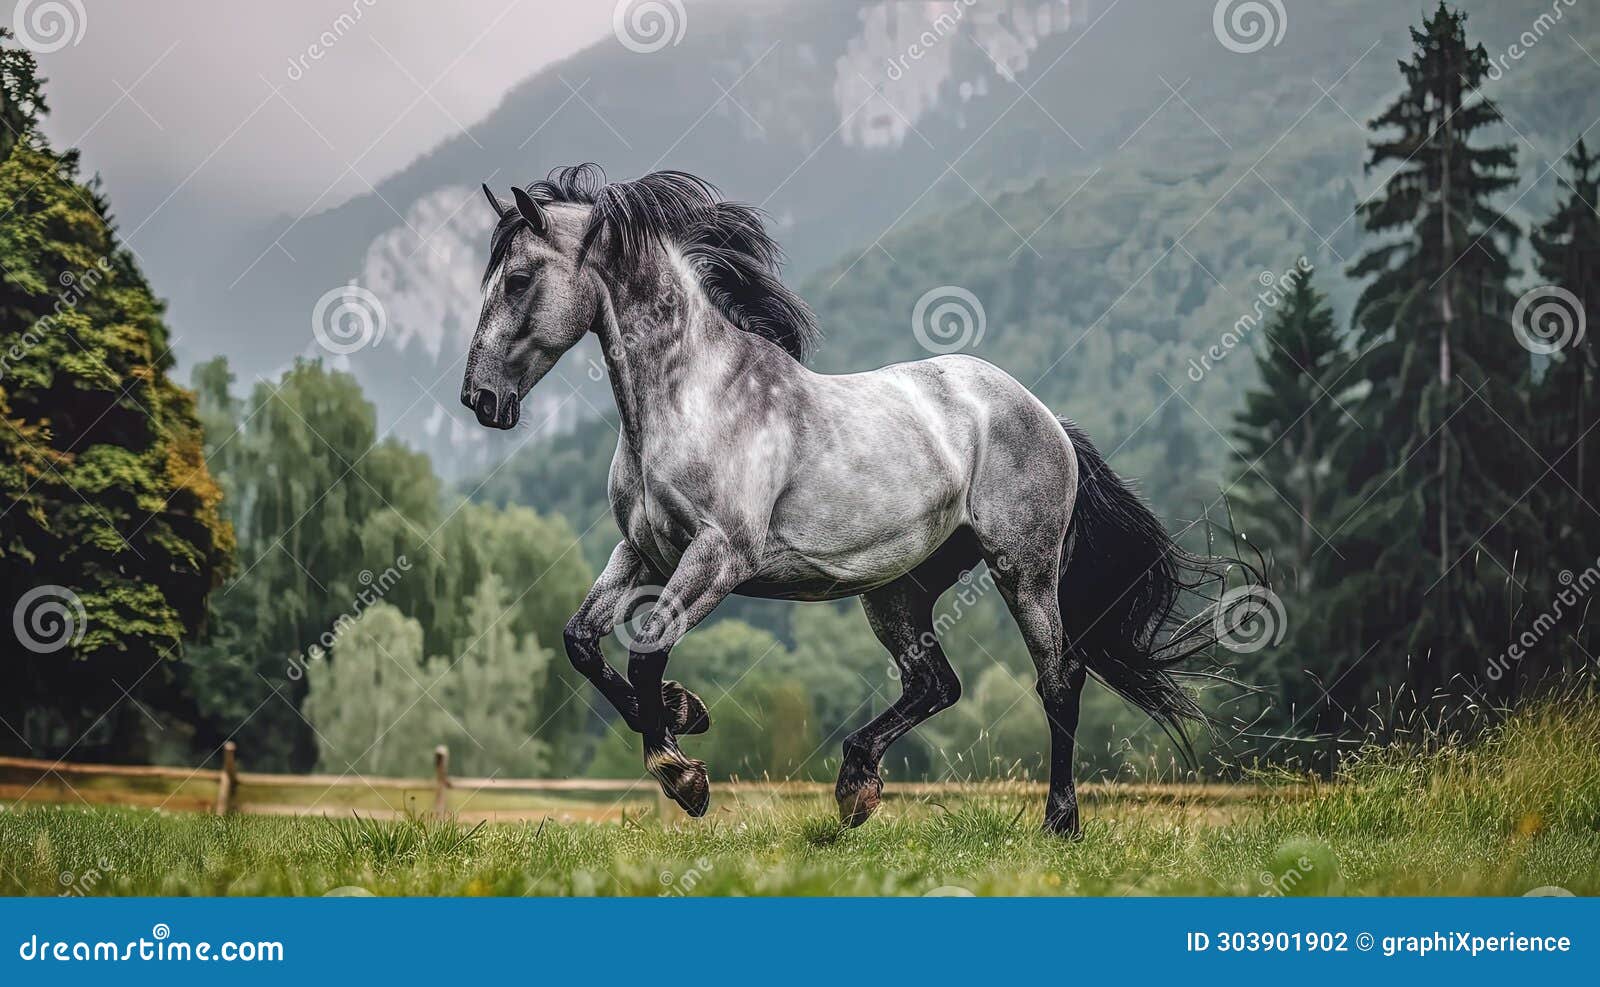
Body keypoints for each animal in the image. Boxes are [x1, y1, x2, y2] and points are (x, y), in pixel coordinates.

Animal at [462, 164, 1238, 837]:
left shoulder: (719, 556)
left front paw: (683, 772)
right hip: (897, 587)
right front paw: (687, 714)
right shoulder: (645, 550)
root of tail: (1045, 416)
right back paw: (856, 784)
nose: (480, 399)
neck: (692, 399)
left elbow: (646, 650)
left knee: (1058, 679)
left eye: (520, 278)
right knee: (937, 683)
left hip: (1023, 566)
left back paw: (1059, 822)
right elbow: (582, 641)